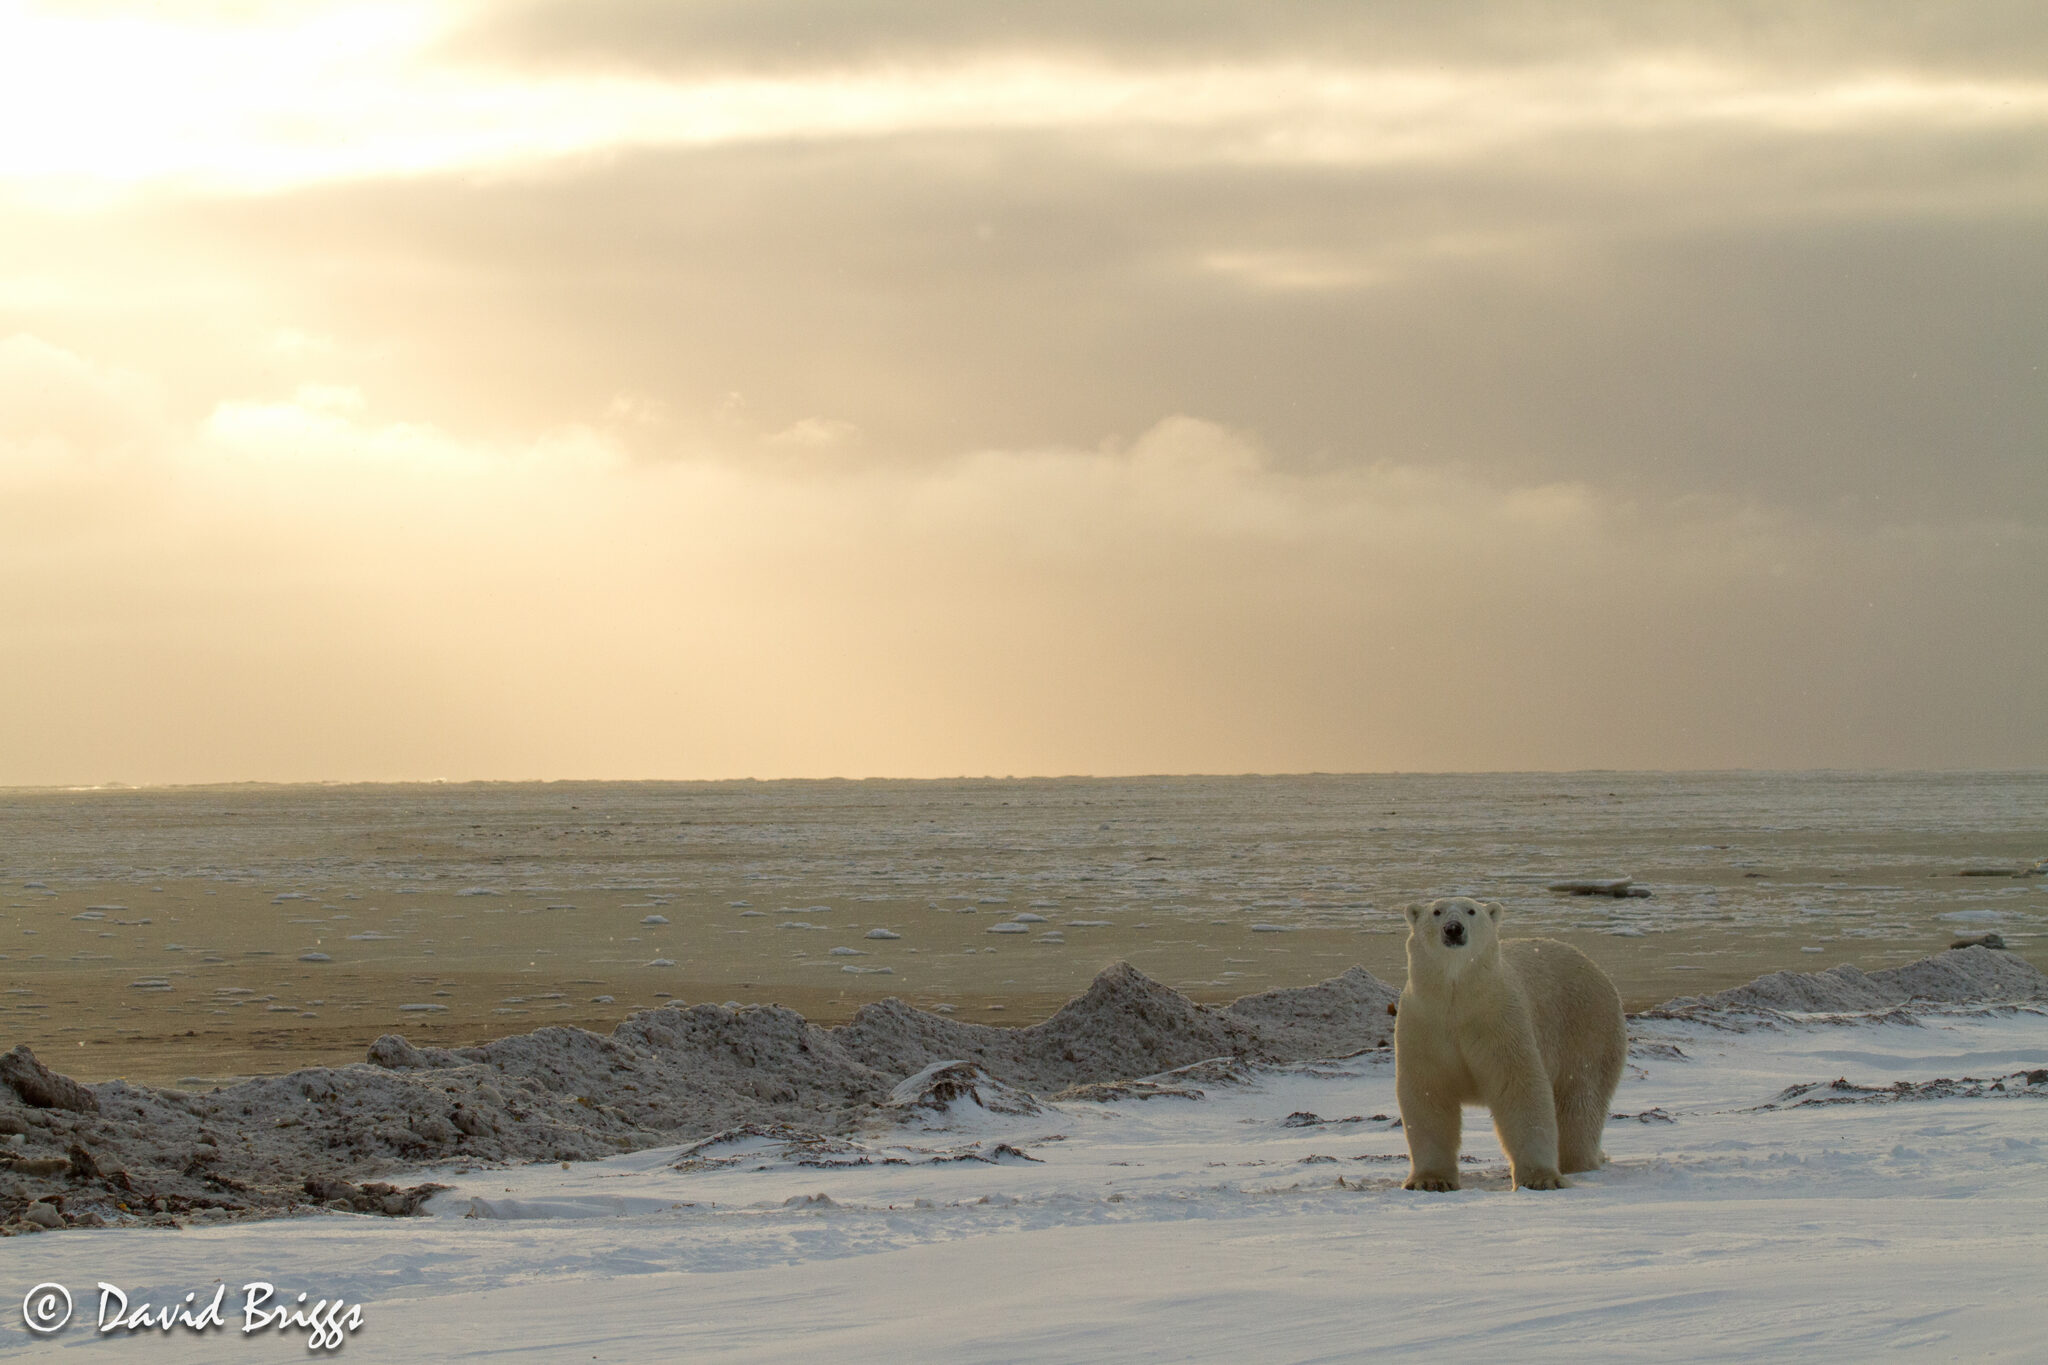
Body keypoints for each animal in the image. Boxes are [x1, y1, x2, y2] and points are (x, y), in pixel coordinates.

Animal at [1394, 896, 1626, 1192]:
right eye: (1436, 912)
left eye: (1471, 910)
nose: (1454, 928)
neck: (1458, 1000)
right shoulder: (1424, 1025)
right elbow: (1429, 1092)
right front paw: (1429, 1181)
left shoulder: (1501, 1020)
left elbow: (1519, 1086)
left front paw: (1541, 1178)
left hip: (1587, 1028)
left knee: (1580, 1098)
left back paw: (1578, 1161)